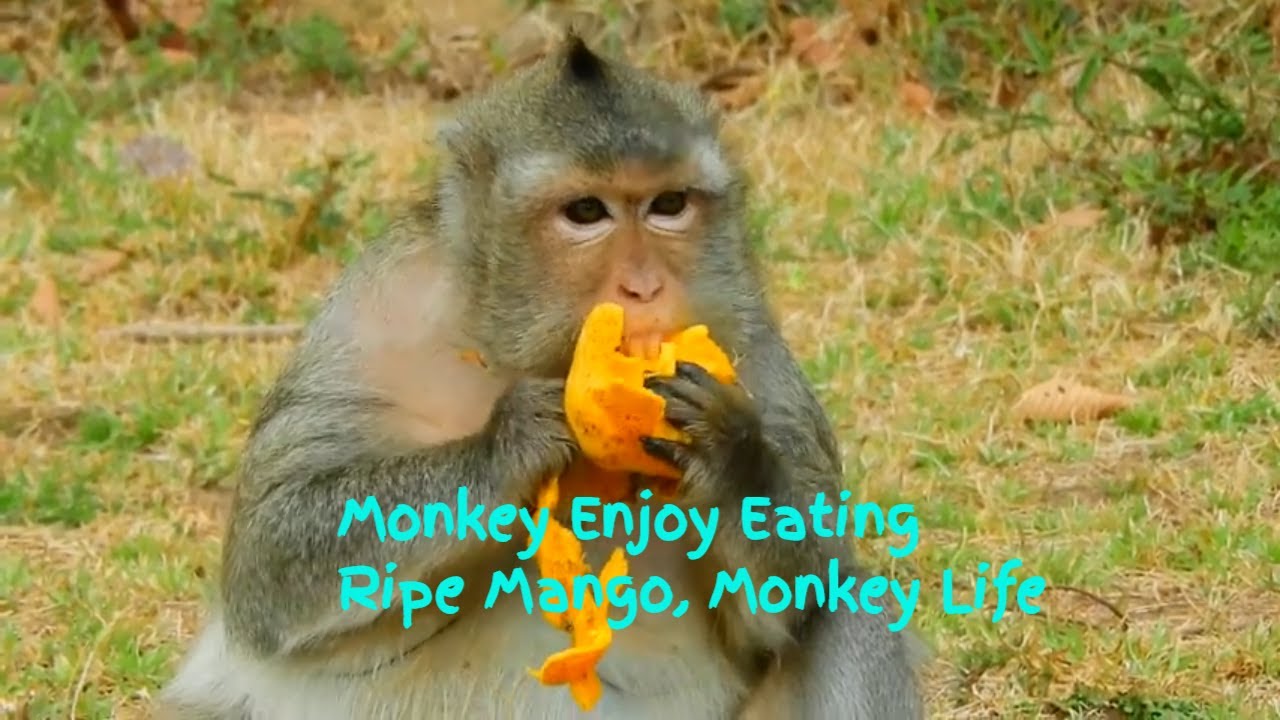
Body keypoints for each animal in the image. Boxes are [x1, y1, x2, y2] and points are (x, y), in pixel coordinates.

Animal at [155, 34, 926, 720]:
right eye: (586, 212)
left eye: (668, 204)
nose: (645, 287)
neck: (516, 348)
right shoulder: (368, 316)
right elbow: (271, 555)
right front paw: (511, 440)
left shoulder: (750, 343)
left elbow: (790, 601)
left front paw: (733, 456)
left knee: (853, 612)